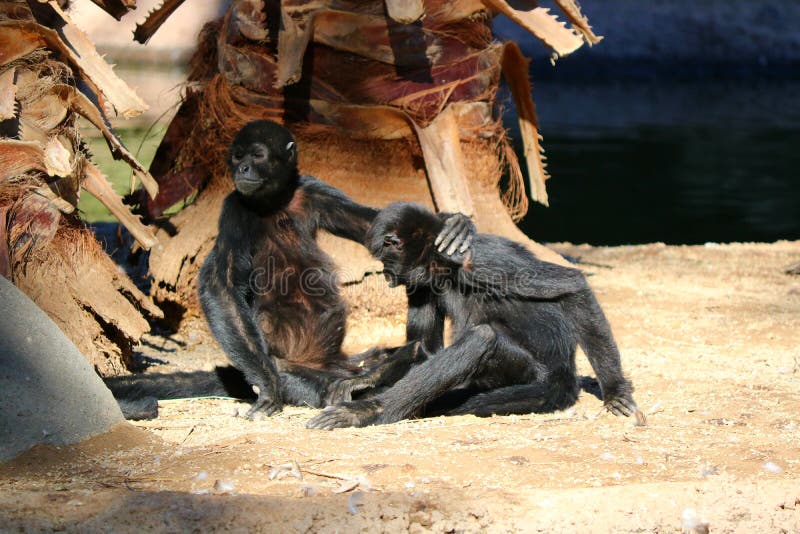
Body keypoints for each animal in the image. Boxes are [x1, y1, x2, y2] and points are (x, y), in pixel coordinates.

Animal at [196, 121, 473, 419]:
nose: (242, 169)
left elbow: (372, 226)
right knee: (315, 383)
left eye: (257, 155)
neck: (274, 204)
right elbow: (220, 285)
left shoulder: (313, 191)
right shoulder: (235, 207)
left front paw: (458, 224)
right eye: (237, 156)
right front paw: (267, 384)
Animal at [306, 202, 643, 429]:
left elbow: (574, 283)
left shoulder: (477, 260)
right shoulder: (422, 282)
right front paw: (361, 379)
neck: (440, 261)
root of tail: (563, 374)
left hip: (527, 371)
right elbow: (423, 345)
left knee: (483, 336)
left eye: (384, 259)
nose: (387, 274)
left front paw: (615, 392)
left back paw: (371, 411)